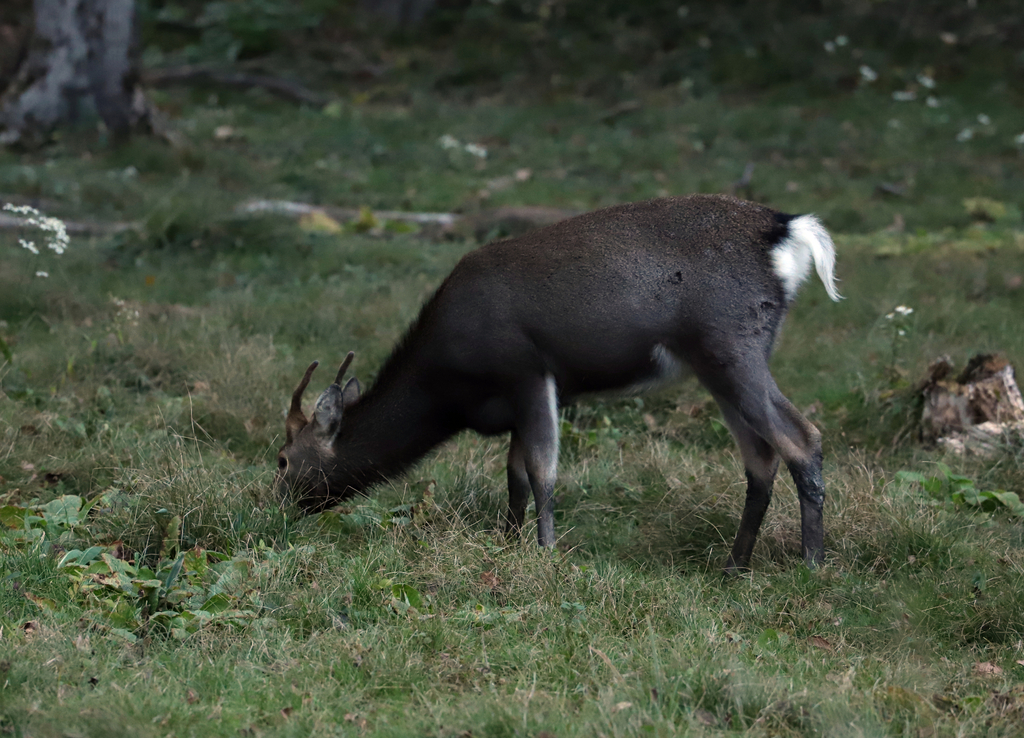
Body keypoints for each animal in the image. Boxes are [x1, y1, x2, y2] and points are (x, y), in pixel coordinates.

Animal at [275, 194, 840, 572]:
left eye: (282, 459)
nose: (273, 508)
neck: (454, 390)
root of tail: (786, 231)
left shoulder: (528, 372)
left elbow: (542, 471)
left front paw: (546, 554)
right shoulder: (517, 400)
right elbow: (515, 476)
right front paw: (508, 543)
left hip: (731, 343)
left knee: (802, 437)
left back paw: (811, 564)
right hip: (718, 363)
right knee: (761, 456)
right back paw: (733, 566)